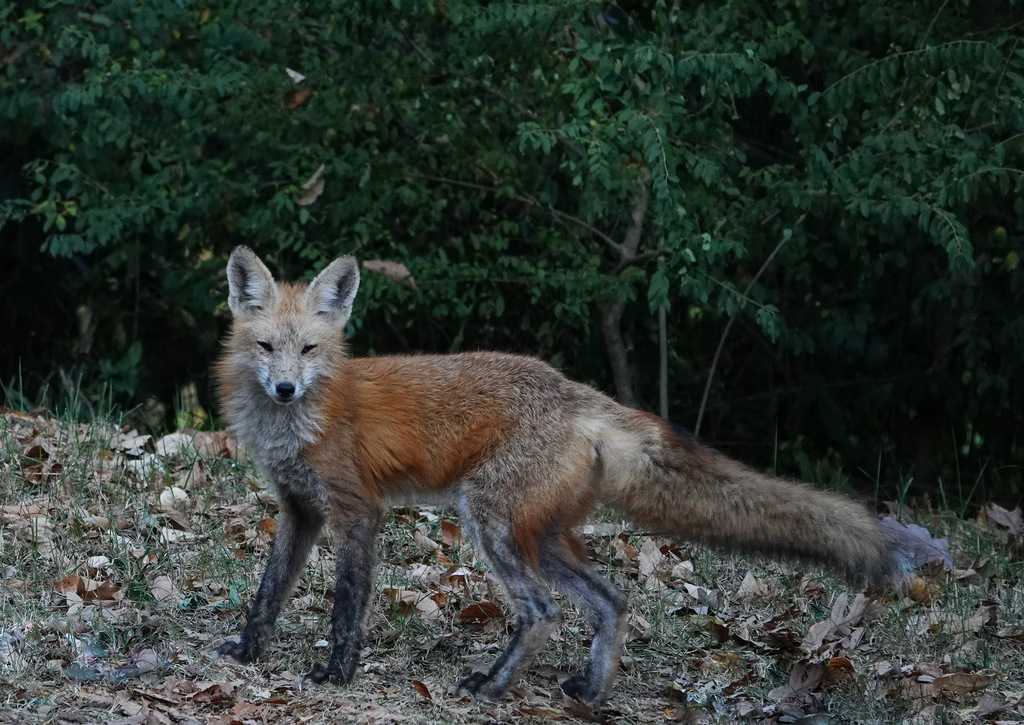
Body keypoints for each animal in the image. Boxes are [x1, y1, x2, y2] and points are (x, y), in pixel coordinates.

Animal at [215, 246, 903, 705]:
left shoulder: (357, 510)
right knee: (612, 600)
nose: (284, 388)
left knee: (543, 612)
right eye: (266, 348)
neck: (302, 420)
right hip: (539, 534)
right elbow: (268, 592)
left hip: (489, 520)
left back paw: (492, 687)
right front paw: (248, 652)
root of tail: (577, 392)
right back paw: (590, 690)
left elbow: (346, 606)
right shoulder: (300, 509)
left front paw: (337, 674)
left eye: (309, 350)